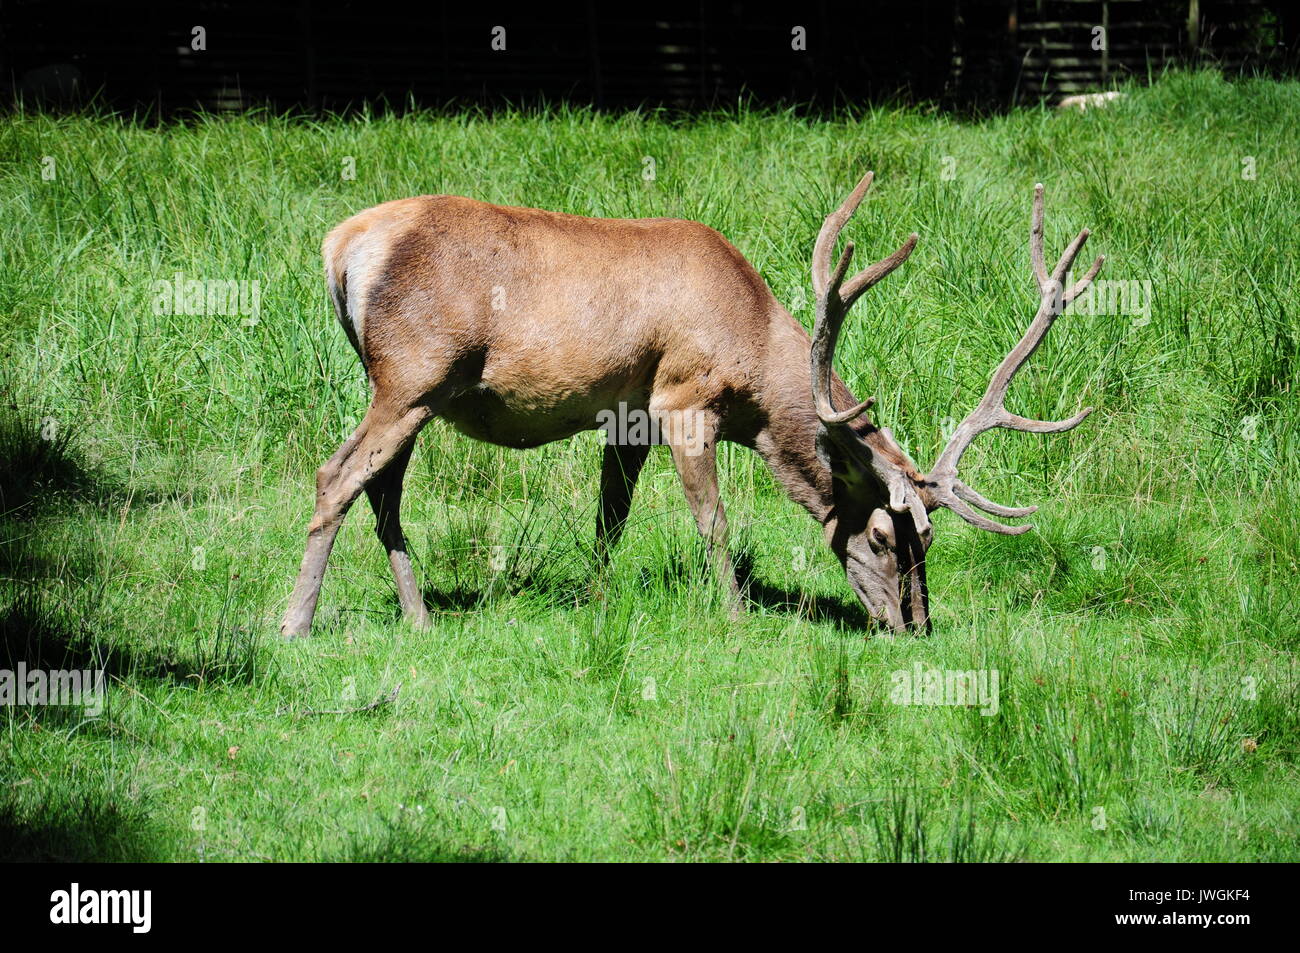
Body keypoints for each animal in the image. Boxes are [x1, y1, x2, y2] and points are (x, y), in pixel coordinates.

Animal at [280, 173, 1102, 638]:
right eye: (880, 535)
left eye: (927, 541)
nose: (916, 626)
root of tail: (340, 246)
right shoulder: (683, 395)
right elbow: (714, 521)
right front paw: (735, 615)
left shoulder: (629, 414)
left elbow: (610, 517)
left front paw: (597, 600)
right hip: (411, 374)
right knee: (335, 475)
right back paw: (296, 622)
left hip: (416, 394)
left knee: (381, 490)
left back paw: (419, 617)